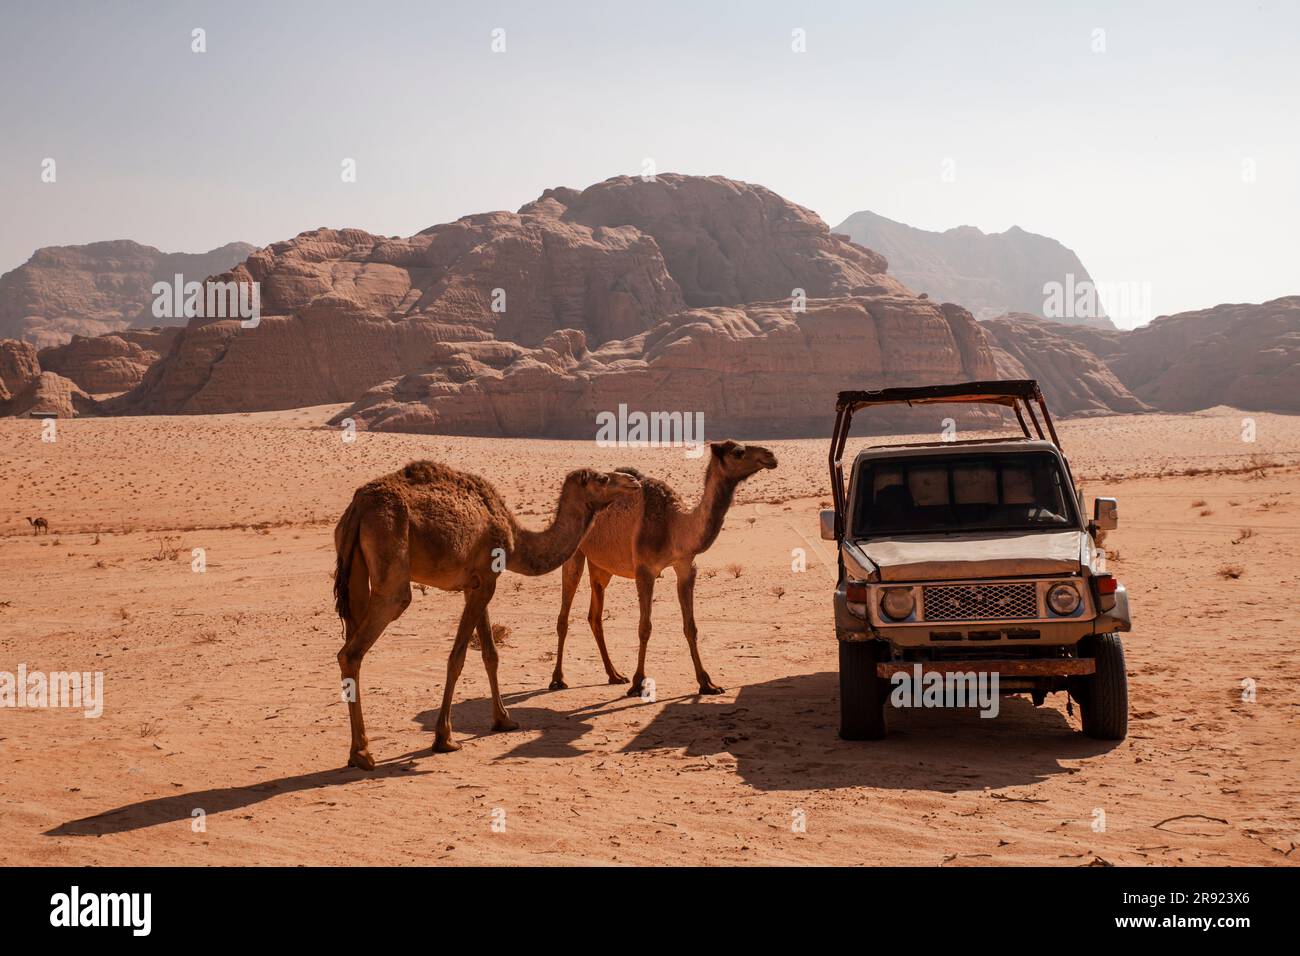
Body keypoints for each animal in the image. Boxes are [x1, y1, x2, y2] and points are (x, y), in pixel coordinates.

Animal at [332, 460, 640, 769]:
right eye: (603, 478)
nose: (633, 481)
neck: (515, 539)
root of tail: (359, 507)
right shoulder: (487, 577)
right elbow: (457, 657)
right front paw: (445, 738)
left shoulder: (477, 583)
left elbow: (490, 654)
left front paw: (503, 719)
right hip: (391, 565)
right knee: (355, 648)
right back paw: (363, 753)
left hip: (355, 573)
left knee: (352, 643)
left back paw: (356, 751)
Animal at [551, 440, 777, 697]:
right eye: (738, 452)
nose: (770, 455)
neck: (674, 524)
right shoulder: (644, 570)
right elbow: (644, 627)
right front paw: (638, 682)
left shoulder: (686, 566)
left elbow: (690, 626)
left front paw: (707, 683)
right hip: (574, 552)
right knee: (564, 615)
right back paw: (558, 679)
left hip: (601, 566)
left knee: (595, 616)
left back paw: (614, 675)